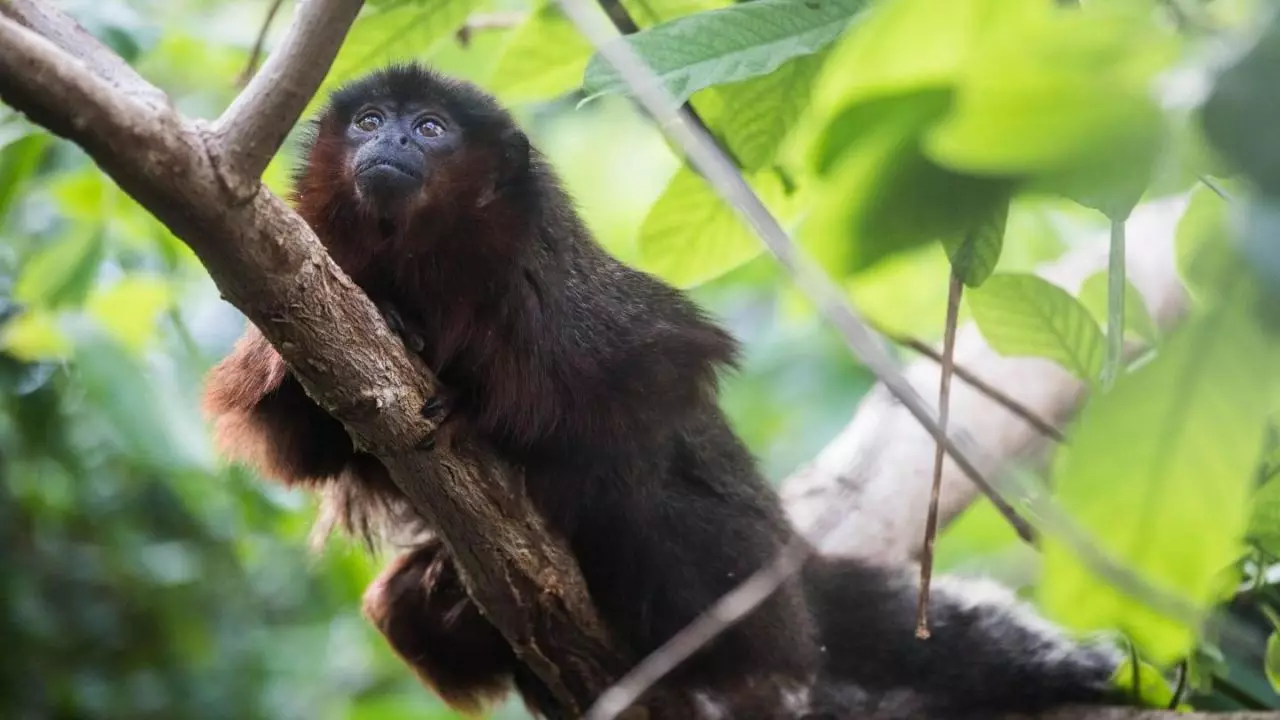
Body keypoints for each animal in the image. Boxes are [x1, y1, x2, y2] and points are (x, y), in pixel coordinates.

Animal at [202, 64, 1131, 712]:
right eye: (367, 121)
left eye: (429, 129)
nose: (386, 143)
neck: (430, 264)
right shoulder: (318, 268)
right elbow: (299, 434)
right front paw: (395, 333)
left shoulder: (563, 302)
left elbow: (645, 401)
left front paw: (481, 413)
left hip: (743, 575)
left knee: (646, 500)